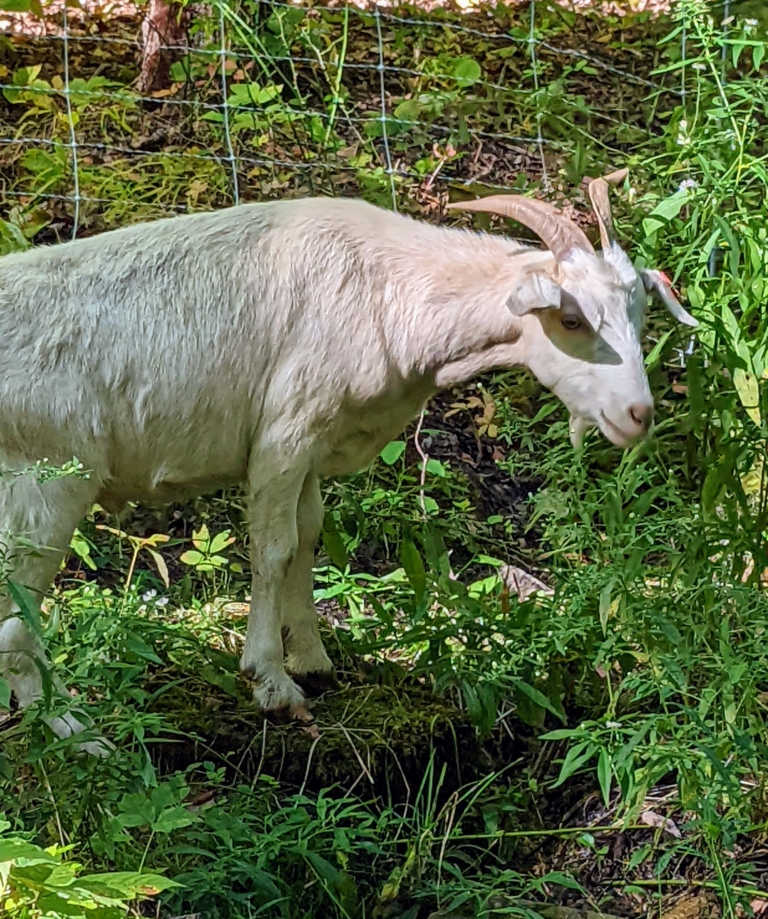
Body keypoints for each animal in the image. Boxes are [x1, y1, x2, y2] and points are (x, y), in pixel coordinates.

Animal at [0, 174, 696, 749]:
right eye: (571, 319)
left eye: (639, 314)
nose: (638, 414)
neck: (388, 286)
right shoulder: (285, 432)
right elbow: (275, 547)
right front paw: (272, 683)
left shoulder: (314, 444)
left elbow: (308, 536)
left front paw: (312, 658)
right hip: (46, 483)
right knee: (18, 608)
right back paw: (69, 729)